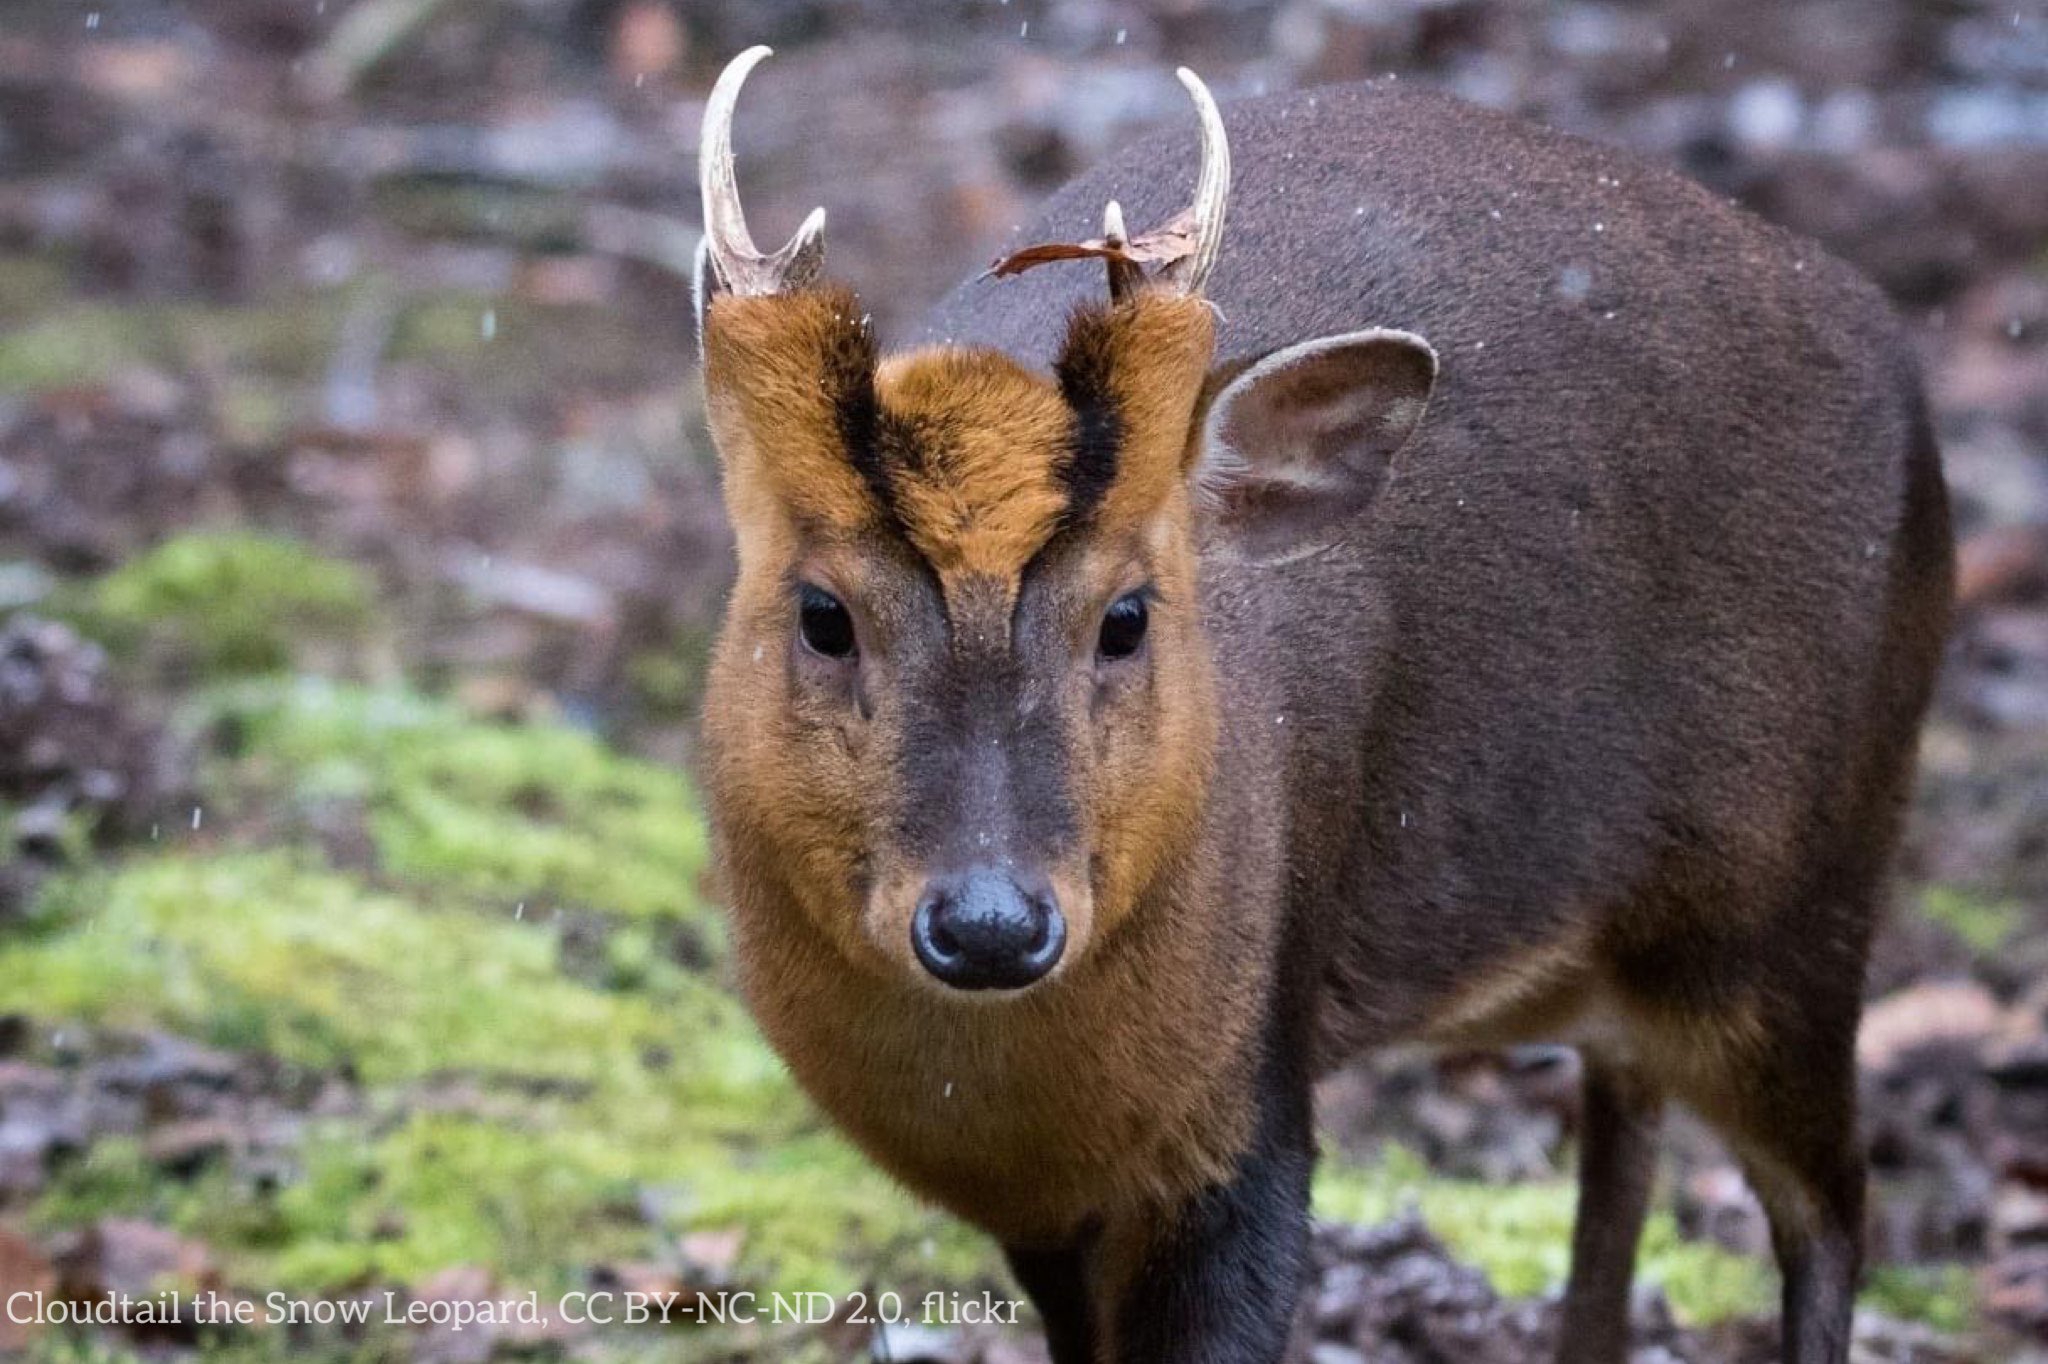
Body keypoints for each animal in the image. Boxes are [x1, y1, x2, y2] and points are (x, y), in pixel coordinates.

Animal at [690, 45, 1953, 1364]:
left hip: (1796, 898)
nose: (989, 924)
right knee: (1624, 1122)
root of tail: (1894, 355)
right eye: (822, 613)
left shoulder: (1249, 1101)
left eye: (1126, 615)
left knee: (1827, 1195)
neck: (1006, 1111)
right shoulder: (1045, 1206)